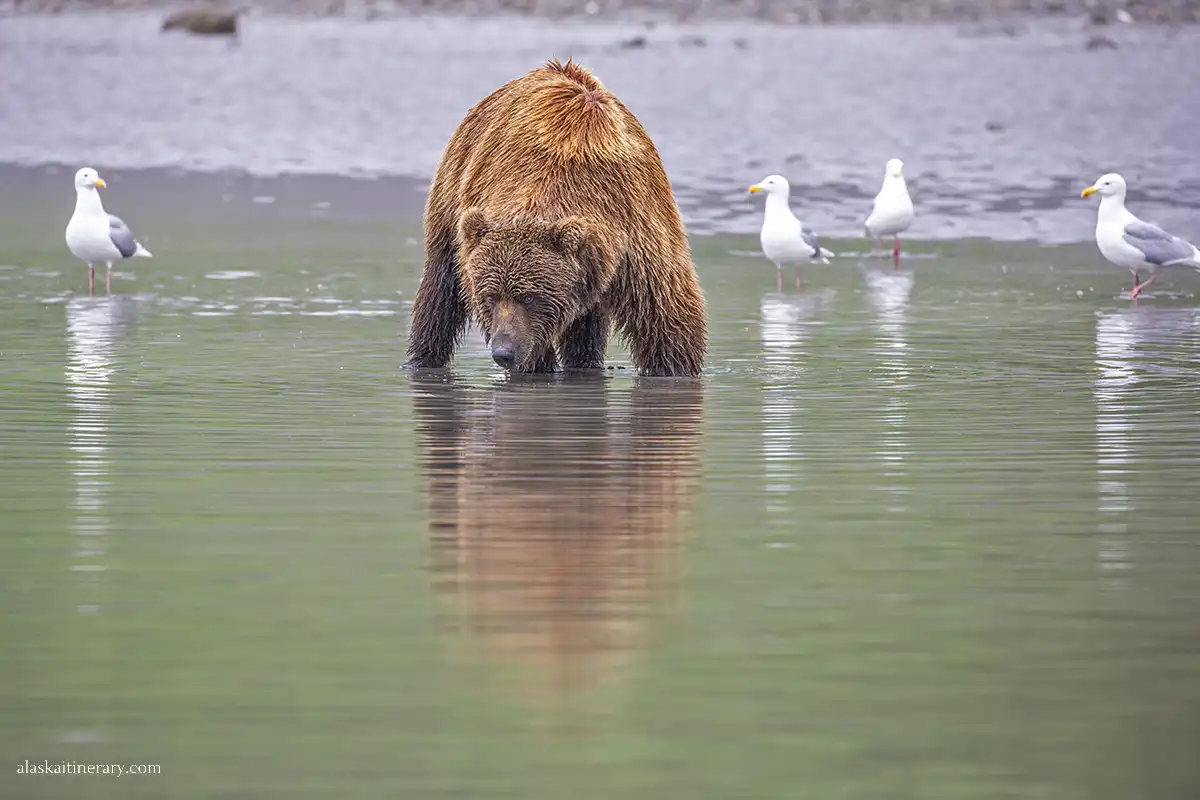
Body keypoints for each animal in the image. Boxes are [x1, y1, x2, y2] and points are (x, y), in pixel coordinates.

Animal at [404, 59, 708, 377]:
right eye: (490, 296)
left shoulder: (635, 223)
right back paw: (423, 359)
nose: (503, 351)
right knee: (442, 286)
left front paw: (675, 368)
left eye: (528, 296)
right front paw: (537, 366)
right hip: (452, 200)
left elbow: (666, 313)